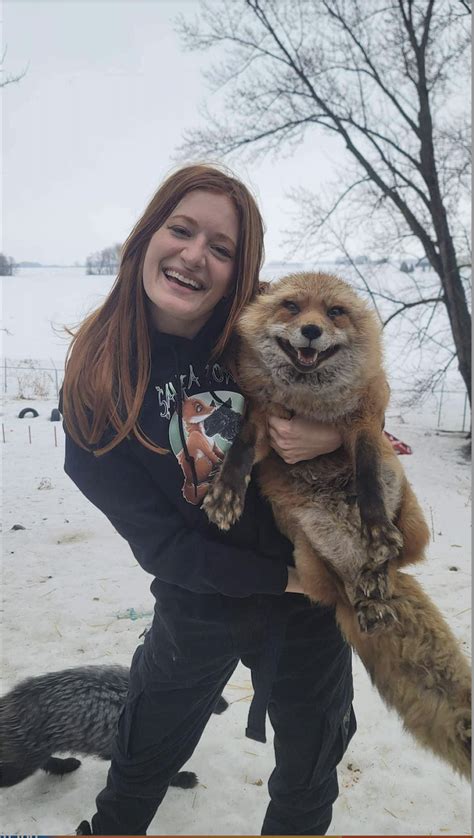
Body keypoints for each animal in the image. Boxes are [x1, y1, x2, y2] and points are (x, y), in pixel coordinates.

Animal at [203, 271, 471, 780]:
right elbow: (240, 449)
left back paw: (378, 568)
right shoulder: (264, 425)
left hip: (404, 502)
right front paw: (227, 494)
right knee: (345, 588)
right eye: (291, 307)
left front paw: (375, 523)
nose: (311, 331)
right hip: (308, 556)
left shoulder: (365, 420)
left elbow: (365, 471)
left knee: (390, 557)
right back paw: (366, 599)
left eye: (335, 312)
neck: (307, 401)